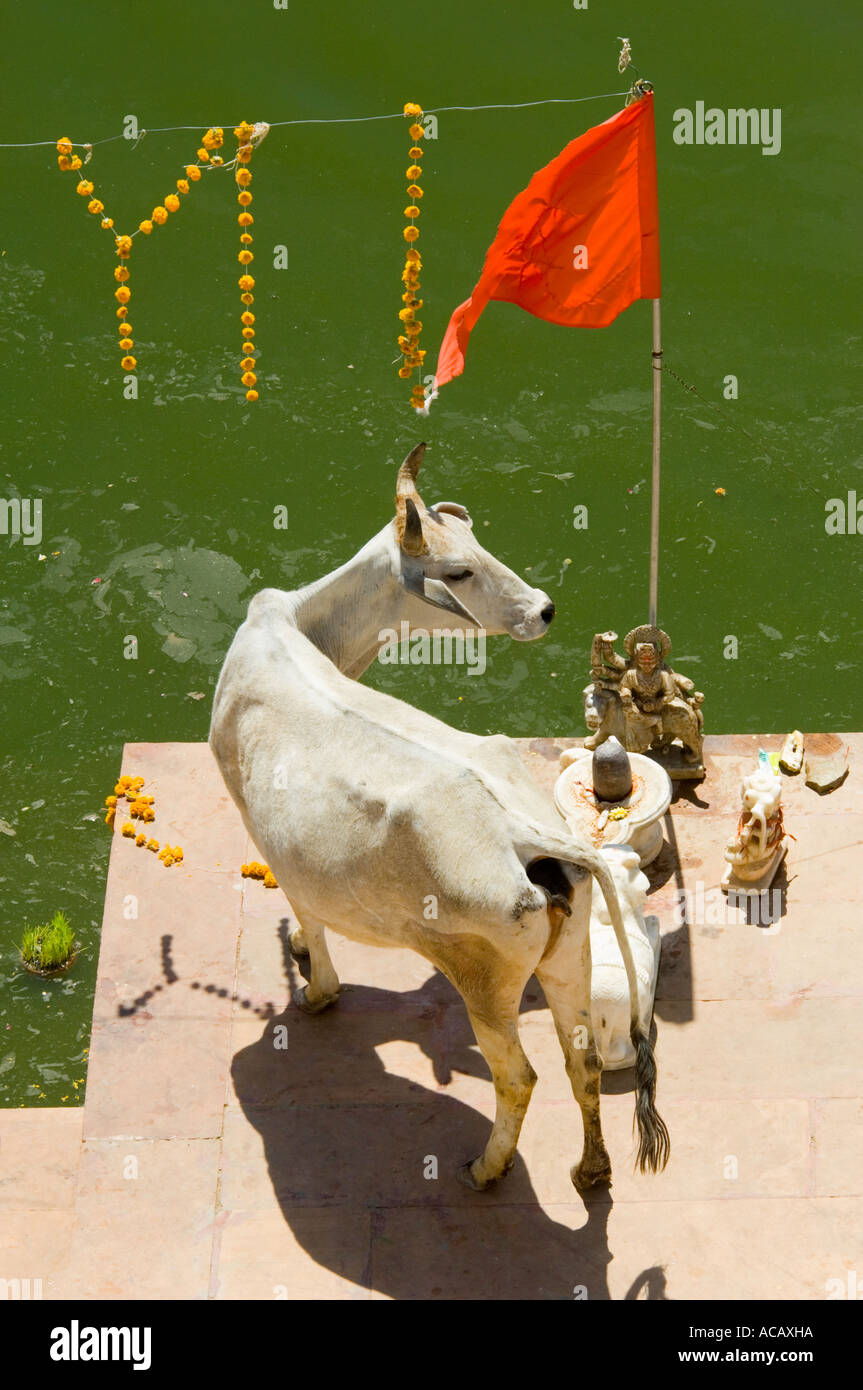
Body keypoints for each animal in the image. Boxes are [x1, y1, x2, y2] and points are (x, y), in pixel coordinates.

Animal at [209, 444, 669, 1192]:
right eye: (460, 567)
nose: (544, 610)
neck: (291, 632)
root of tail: (528, 836)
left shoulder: (273, 843)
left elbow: (310, 917)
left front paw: (314, 985)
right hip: (566, 963)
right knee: (583, 1062)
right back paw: (591, 1170)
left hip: (485, 983)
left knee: (519, 1077)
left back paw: (486, 1169)